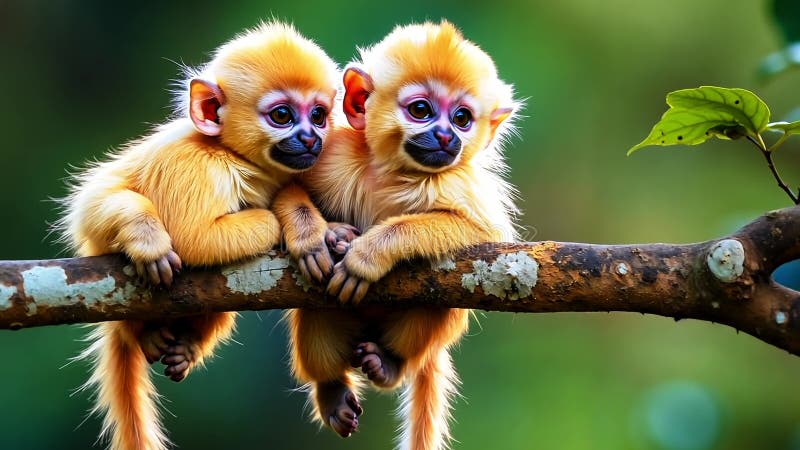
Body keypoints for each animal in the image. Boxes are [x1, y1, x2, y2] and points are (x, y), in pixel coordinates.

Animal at [57, 22, 339, 450]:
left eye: (319, 115)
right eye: (283, 115)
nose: (310, 138)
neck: (229, 153)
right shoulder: (195, 167)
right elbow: (196, 239)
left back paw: (181, 344)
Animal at [273, 21, 520, 450]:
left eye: (462, 118)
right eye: (421, 110)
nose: (446, 136)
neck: (395, 173)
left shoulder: (459, 183)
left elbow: (479, 234)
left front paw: (366, 256)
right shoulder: (333, 154)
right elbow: (284, 190)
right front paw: (318, 238)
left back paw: (389, 364)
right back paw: (331, 390)